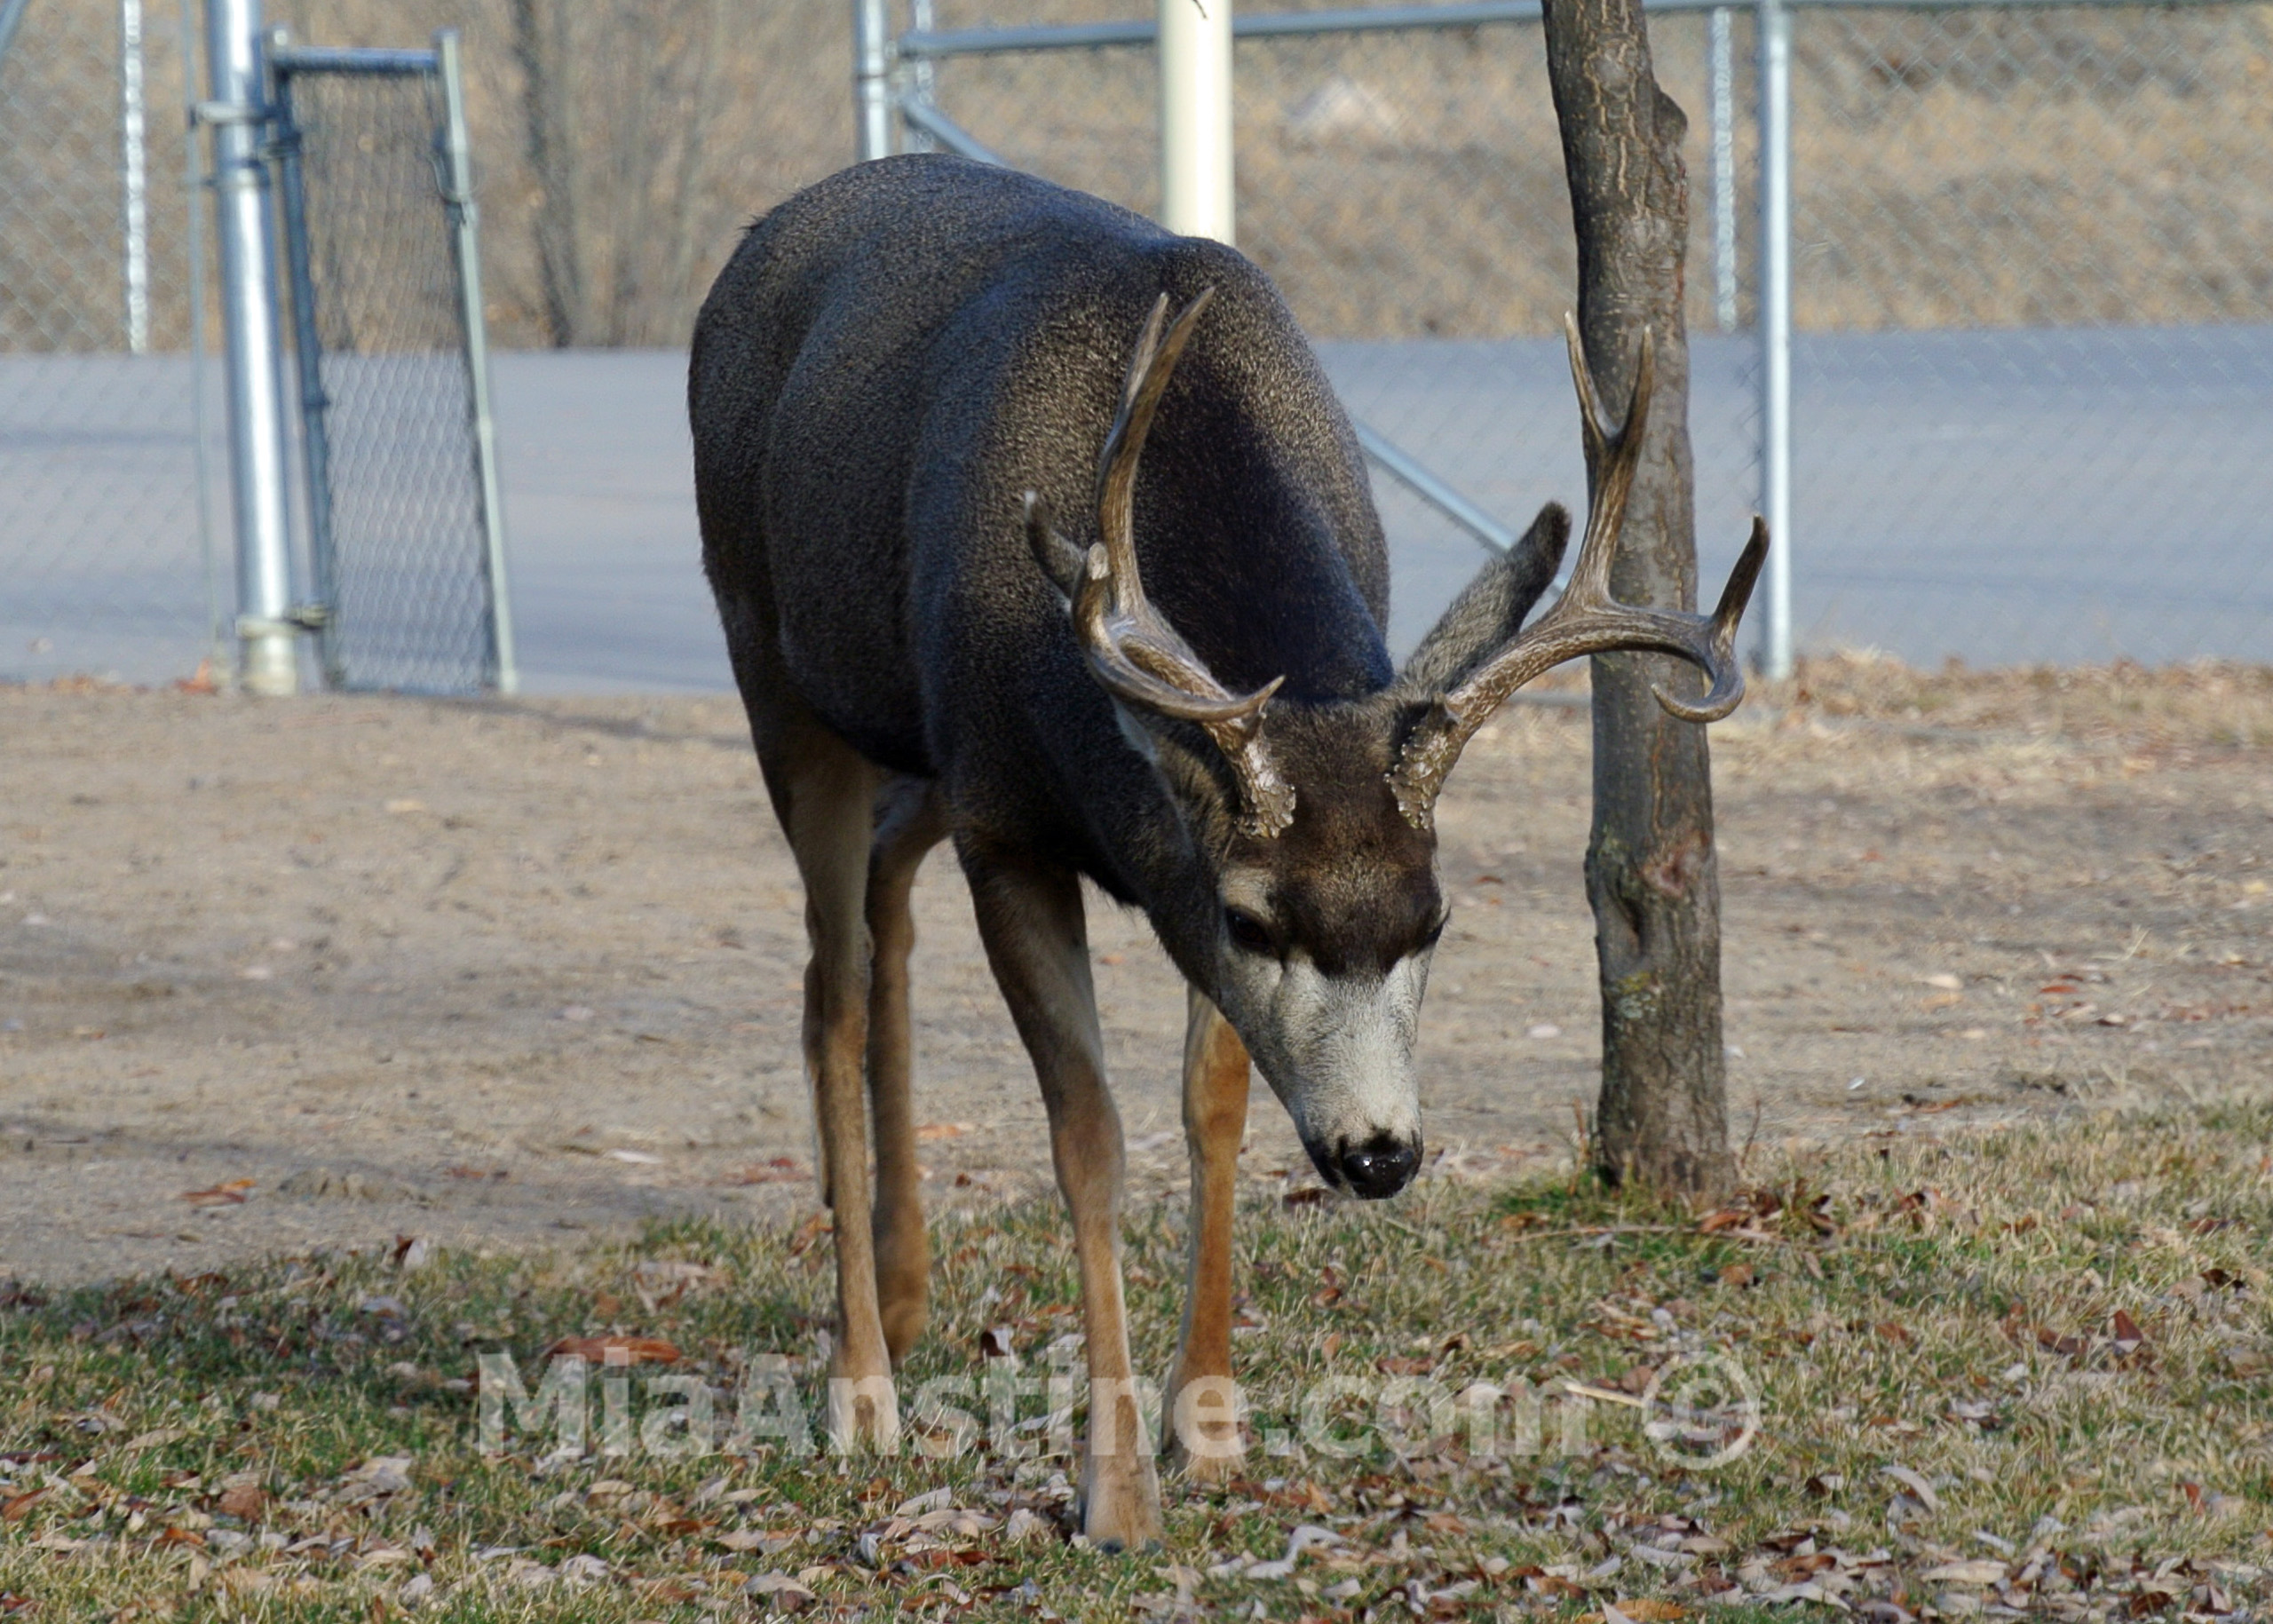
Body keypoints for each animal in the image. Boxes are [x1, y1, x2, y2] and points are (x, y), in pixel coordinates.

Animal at [689, 153, 1765, 1549]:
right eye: (1258, 917)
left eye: (1433, 920)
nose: (1379, 1152)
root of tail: (761, 233)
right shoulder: (1009, 822)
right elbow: (1087, 1136)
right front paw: (1115, 1491)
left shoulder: (1096, 830)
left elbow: (1212, 1102)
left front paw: (1208, 1424)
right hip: (773, 663)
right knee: (831, 985)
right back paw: (860, 1386)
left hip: (910, 745)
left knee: (881, 900)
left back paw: (911, 1288)